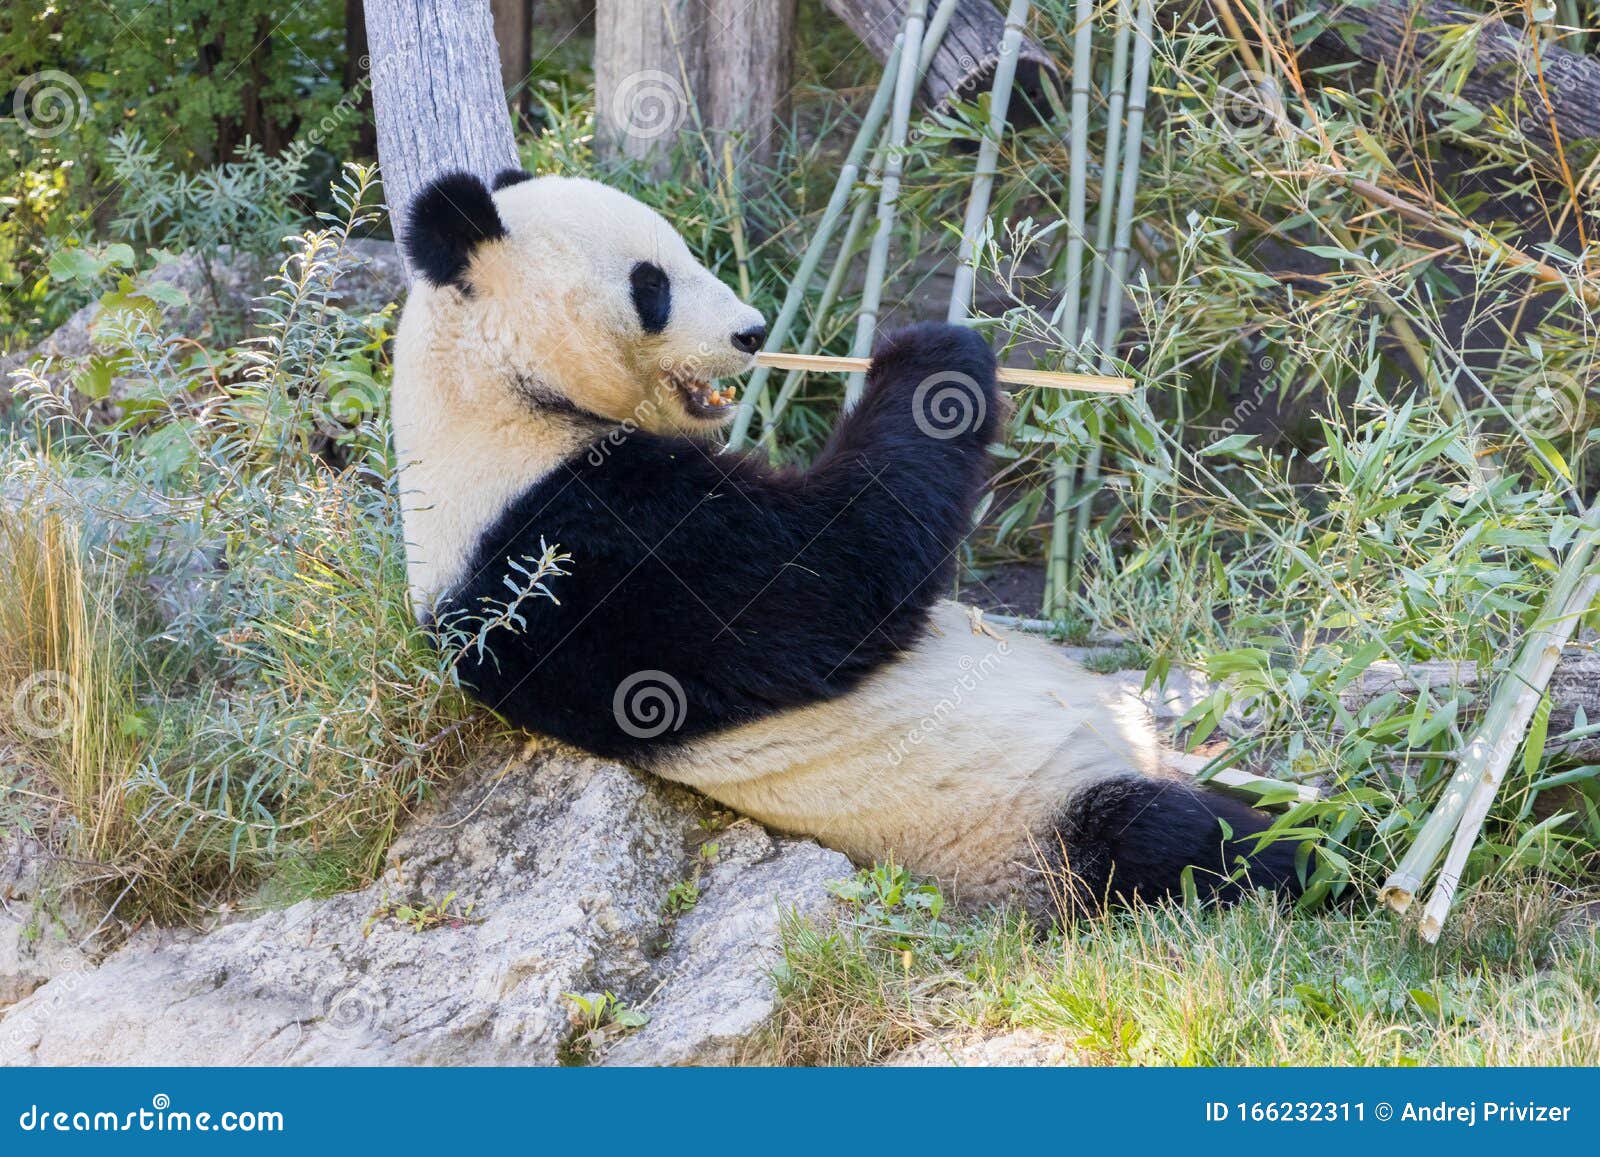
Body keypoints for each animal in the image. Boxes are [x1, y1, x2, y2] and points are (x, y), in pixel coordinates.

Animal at [390, 168, 1306, 921]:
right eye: (651, 285)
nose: (754, 332)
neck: (491, 393)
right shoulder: (567, 547)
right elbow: (832, 578)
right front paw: (934, 355)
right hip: (1024, 822)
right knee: (1178, 844)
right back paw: (1317, 855)